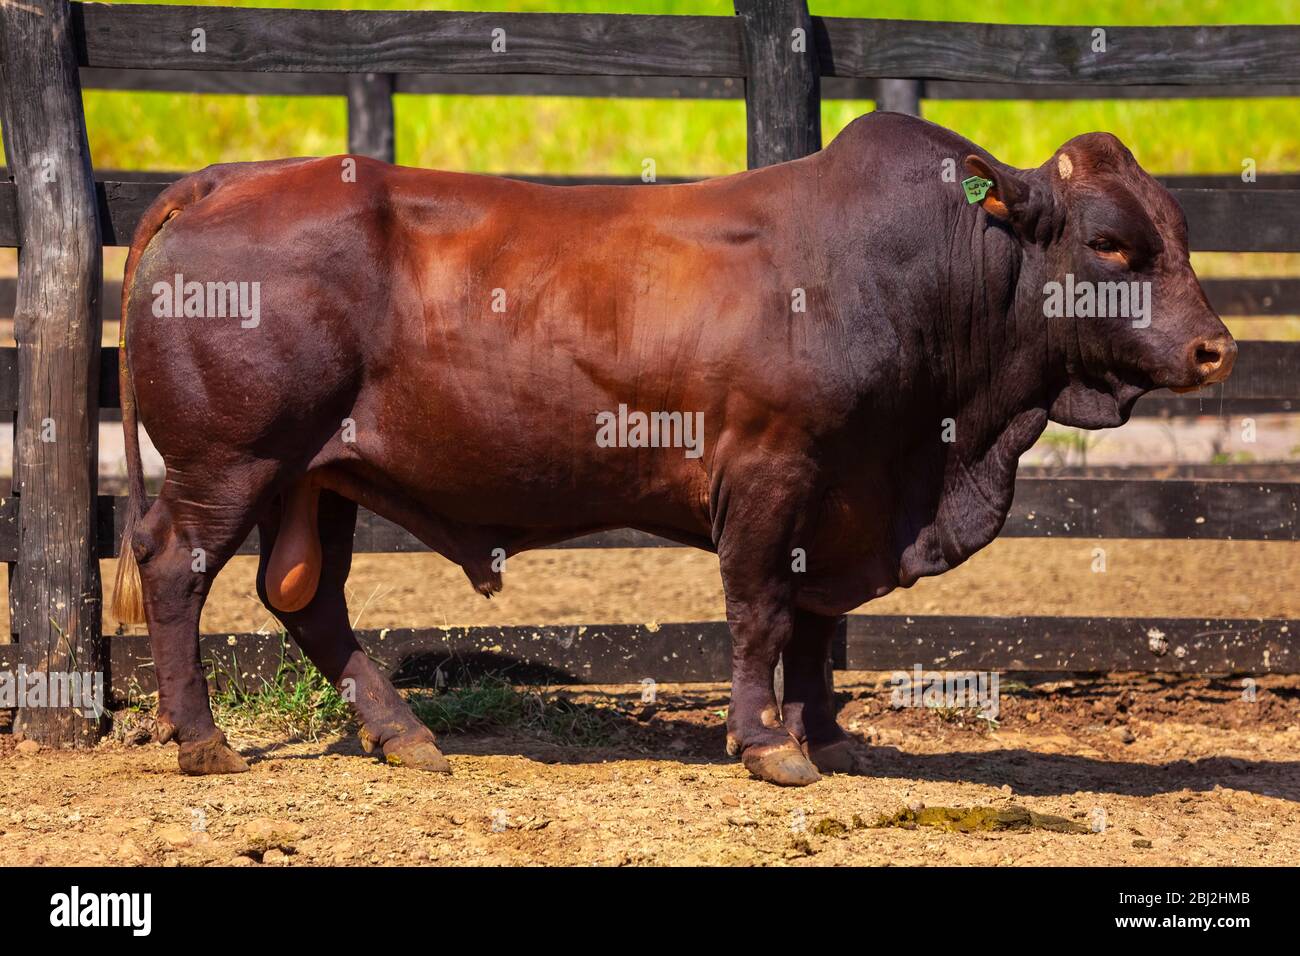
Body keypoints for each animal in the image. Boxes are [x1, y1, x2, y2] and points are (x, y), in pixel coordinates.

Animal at [111, 112, 1235, 786]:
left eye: (1181, 233)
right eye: (1110, 244)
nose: (1213, 347)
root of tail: (224, 181)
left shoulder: (844, 496)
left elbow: (815, 625)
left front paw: (827, 734)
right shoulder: (772, 475)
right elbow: (760, 615)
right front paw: (770, 743)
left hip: (319, 476)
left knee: (305, 596)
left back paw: (404, 734)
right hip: (231, 463)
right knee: (174, 566)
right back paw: (204, 741)